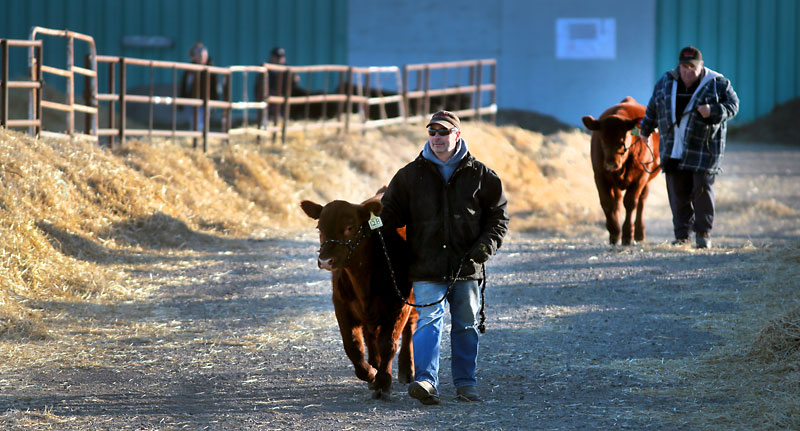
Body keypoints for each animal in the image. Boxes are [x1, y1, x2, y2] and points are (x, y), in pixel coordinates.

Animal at [300, 193, 416, 400]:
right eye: (319, 228)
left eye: (350, 227)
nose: (325, 260)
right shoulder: (341, 304)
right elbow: (352, 345)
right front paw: (370, 373)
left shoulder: (399, 304)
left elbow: (389, 343)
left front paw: (383, 382)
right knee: (370, 336)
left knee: (410, 328)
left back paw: (406, 369)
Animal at [582, 97, 661, 245]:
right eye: (602, 140)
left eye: (622, 140)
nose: (611, 164)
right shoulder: (600, 175)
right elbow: (607, 203)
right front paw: (614, 233)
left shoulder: (641, 176)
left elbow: (631, 203)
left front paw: (627, 235)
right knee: (617, 202)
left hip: (647, 179)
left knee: (641, 202)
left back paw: (639, 234)